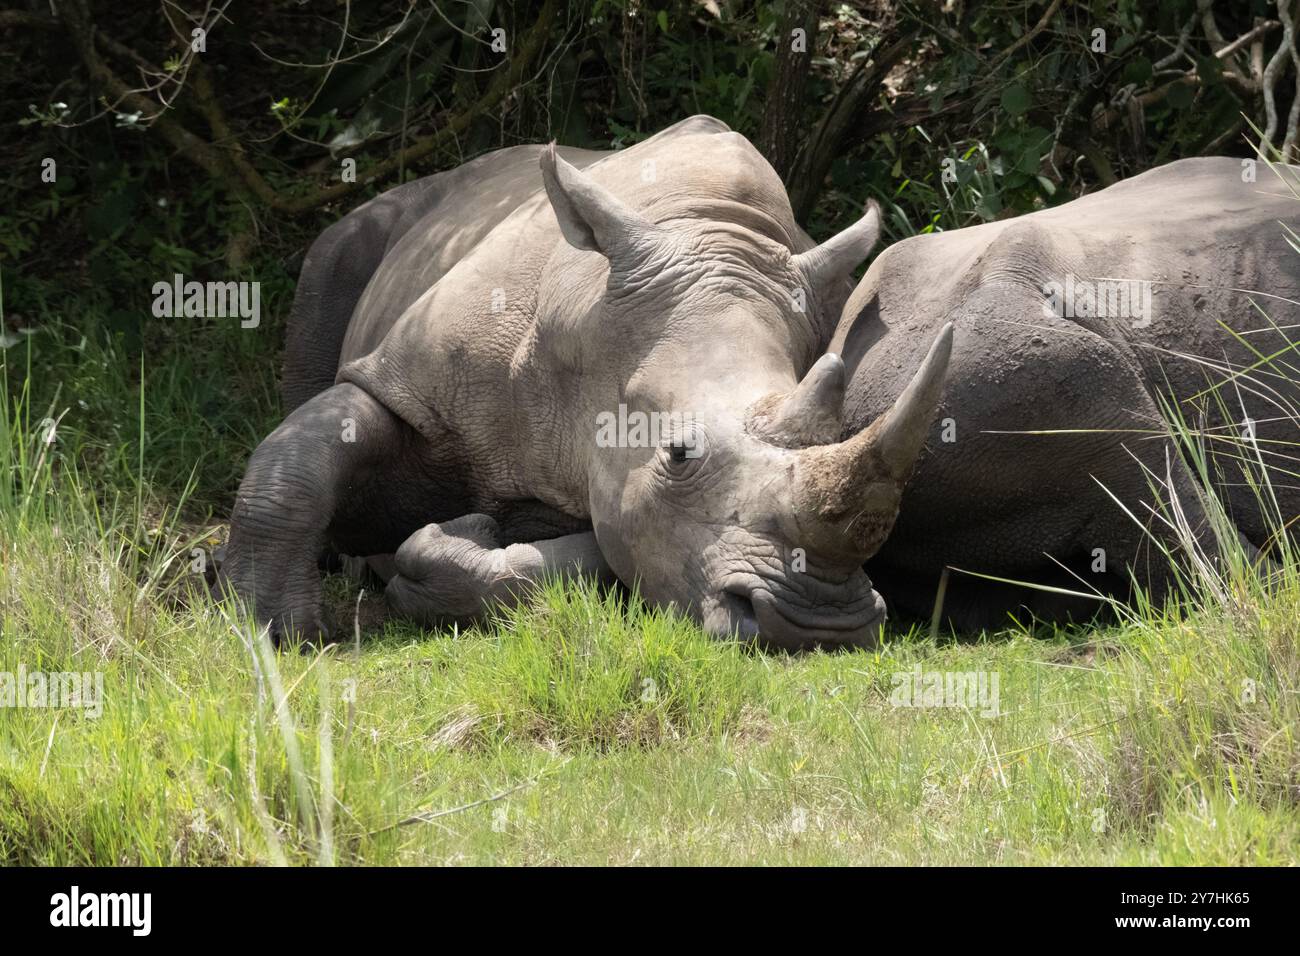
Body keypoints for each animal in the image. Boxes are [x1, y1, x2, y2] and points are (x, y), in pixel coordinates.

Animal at [219, 116, 952, 650]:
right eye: (677, 453)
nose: (818, 625)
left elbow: (591, 557)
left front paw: (453, 546)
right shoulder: (404, 383)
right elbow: (305, 454)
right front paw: (272, 631)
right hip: (388, 221)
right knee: (330, 264)